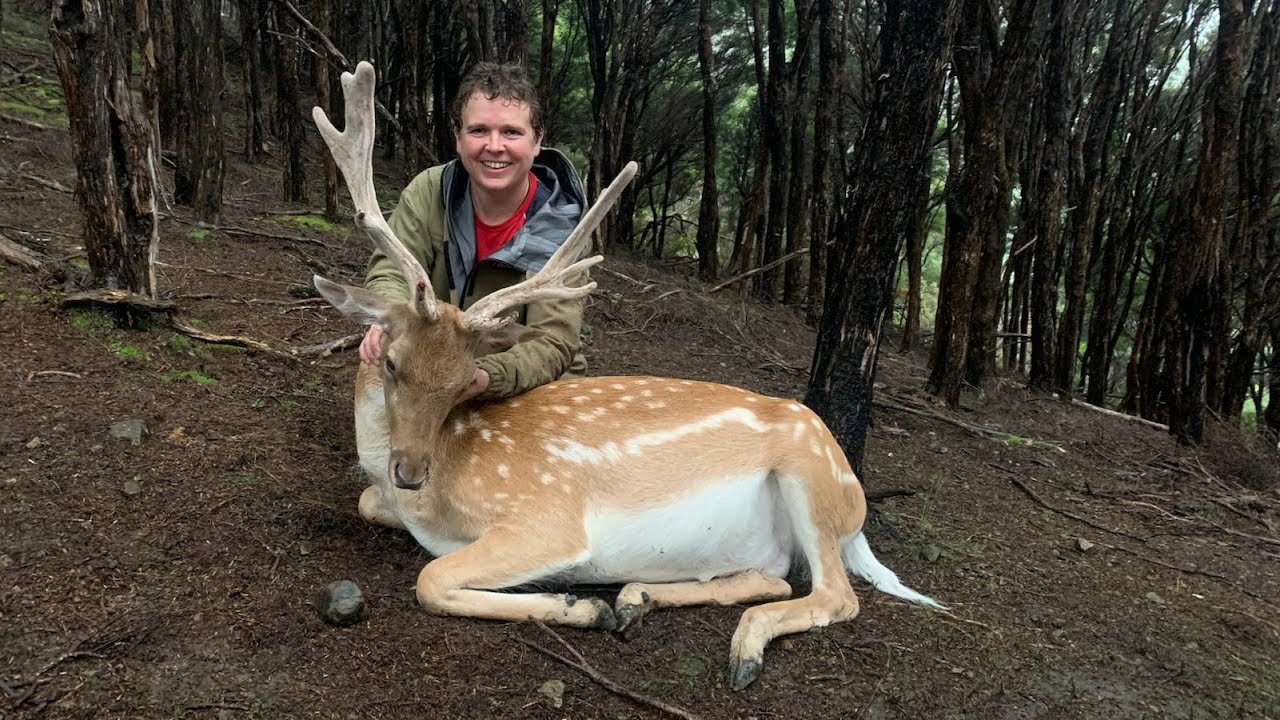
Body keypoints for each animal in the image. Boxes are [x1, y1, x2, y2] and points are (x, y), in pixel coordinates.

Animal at [311, 62, 943, 691]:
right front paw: (594, 606)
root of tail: (856, 502)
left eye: (464, 380)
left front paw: (579, 605)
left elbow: (431, 578)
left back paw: (738, 648)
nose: (410, 471)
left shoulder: (548, 521)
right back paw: (638, 599)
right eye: (392, 362)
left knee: (836, 594)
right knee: (775, 576)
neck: (433, 496)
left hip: (810, 473)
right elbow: (371, 505)